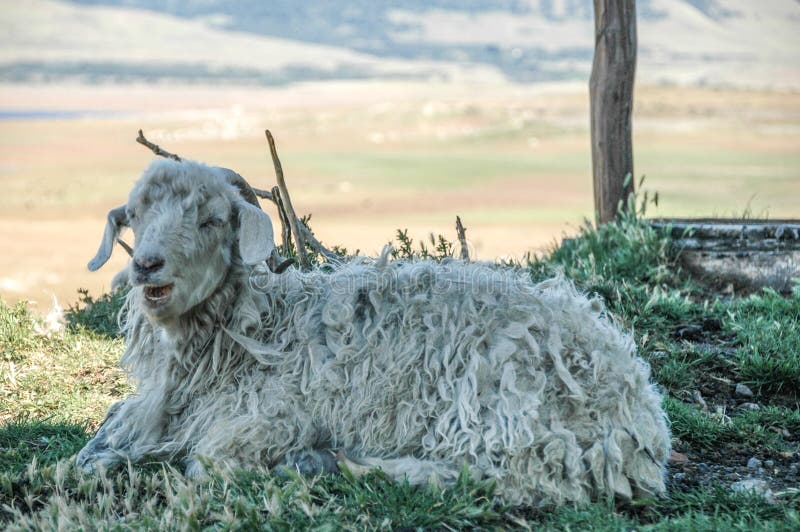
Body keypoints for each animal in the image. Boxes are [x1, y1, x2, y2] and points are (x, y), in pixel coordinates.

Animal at [76, 157, 671, 507]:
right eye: (134, 216)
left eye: (212, 219)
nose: (147, 266)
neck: (259, 327)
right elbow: (109, 436)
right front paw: (99, 456)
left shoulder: (270, 418)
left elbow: (205, 462)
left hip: (500, 408)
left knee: (502, 476)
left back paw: (335, 462)